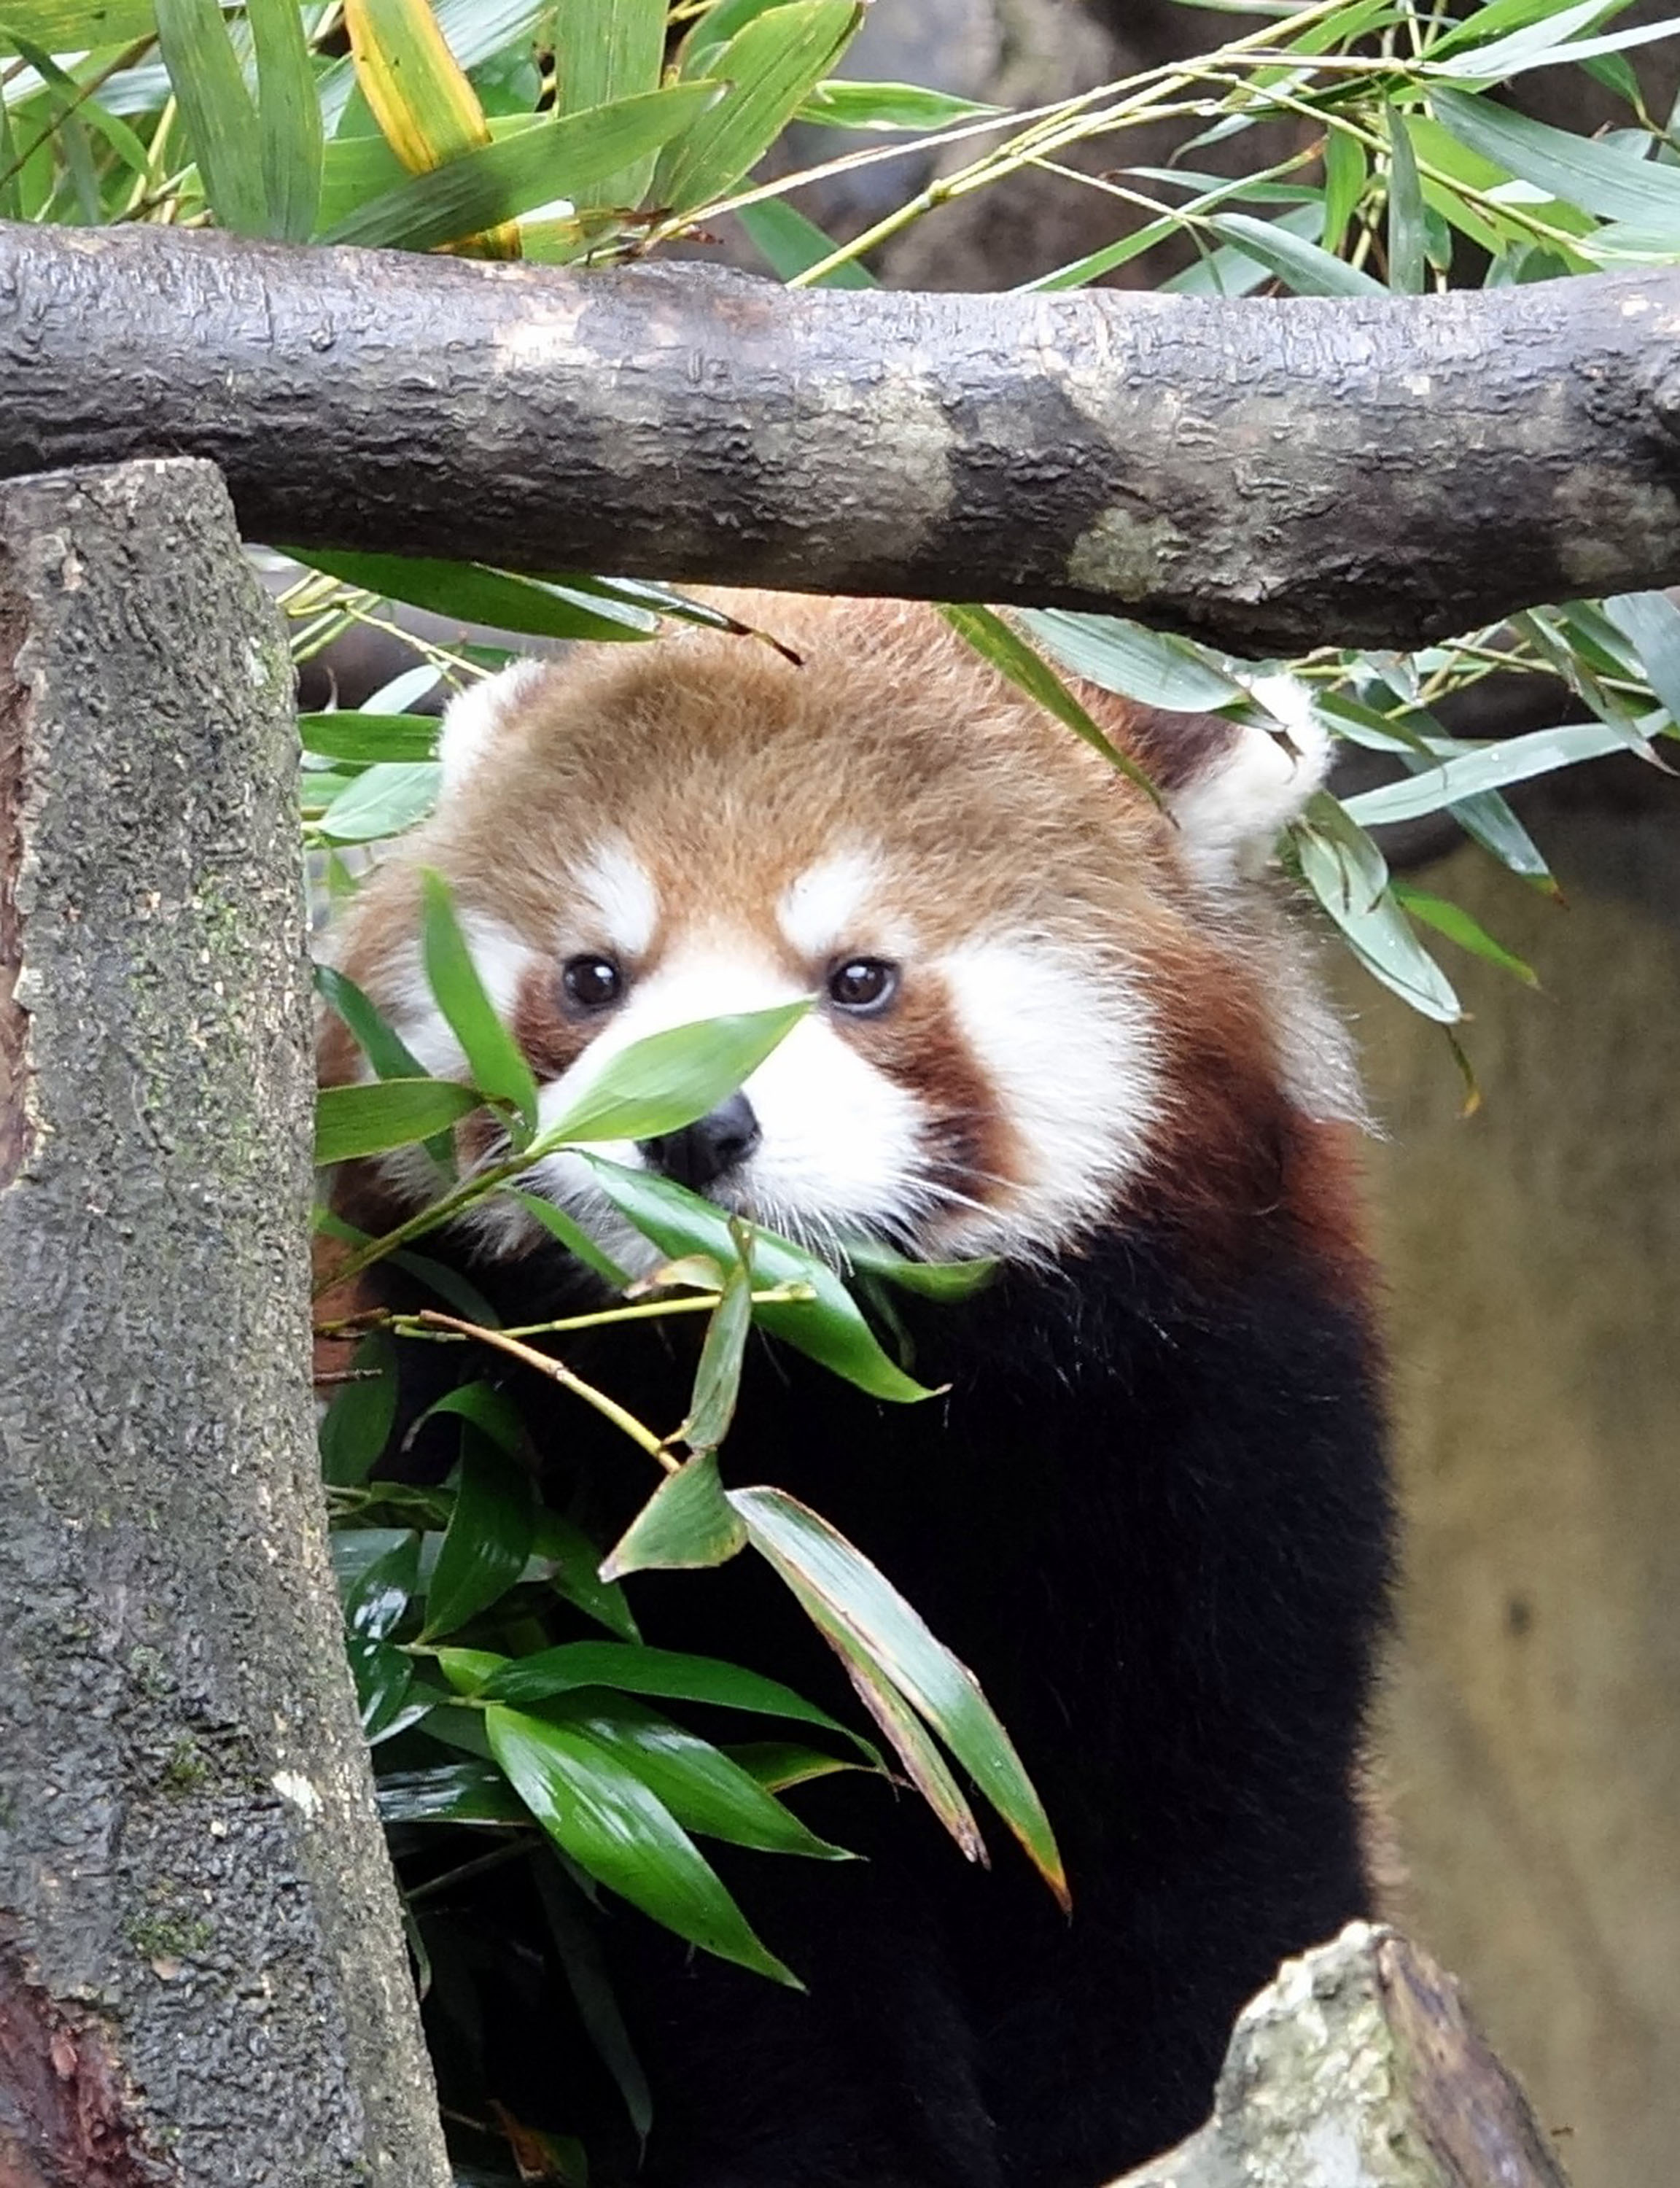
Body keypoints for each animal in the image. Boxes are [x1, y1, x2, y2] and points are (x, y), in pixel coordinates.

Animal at [319, 592, 1393, 2188]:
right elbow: (732, 1918)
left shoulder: (1234, 1459)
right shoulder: (541, 1519)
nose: (690, 1128)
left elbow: (1208, 1860)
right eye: (594, 976)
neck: (836, 1397)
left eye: (859, 980)